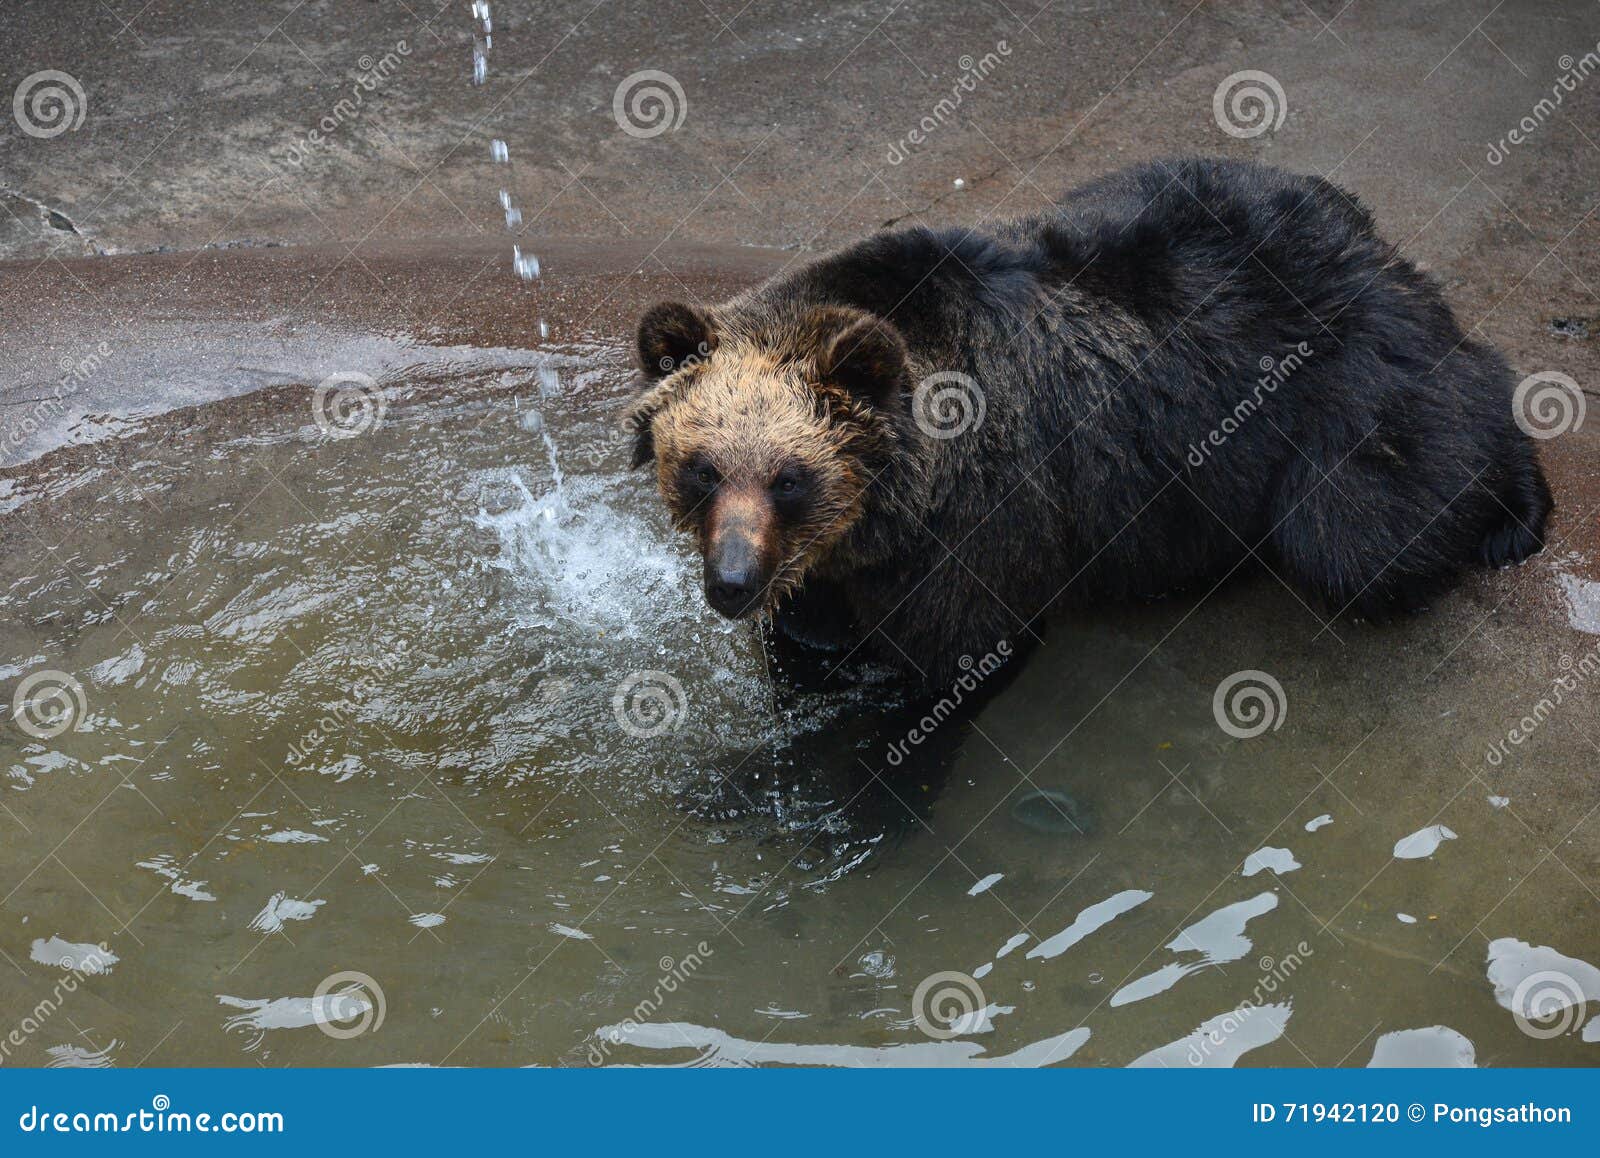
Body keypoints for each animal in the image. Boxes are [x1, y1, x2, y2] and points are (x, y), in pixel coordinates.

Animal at [625, 157, 1553, 688]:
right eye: (702, 467)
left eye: (791, 477)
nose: (730, 582)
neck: (893, 511)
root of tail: (1361, 229)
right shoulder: (837, 561)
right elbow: (811, 639)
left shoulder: (980, 527)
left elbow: (953, 659)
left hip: (1336, 386)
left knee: (1365, 525)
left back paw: (1513, 515)